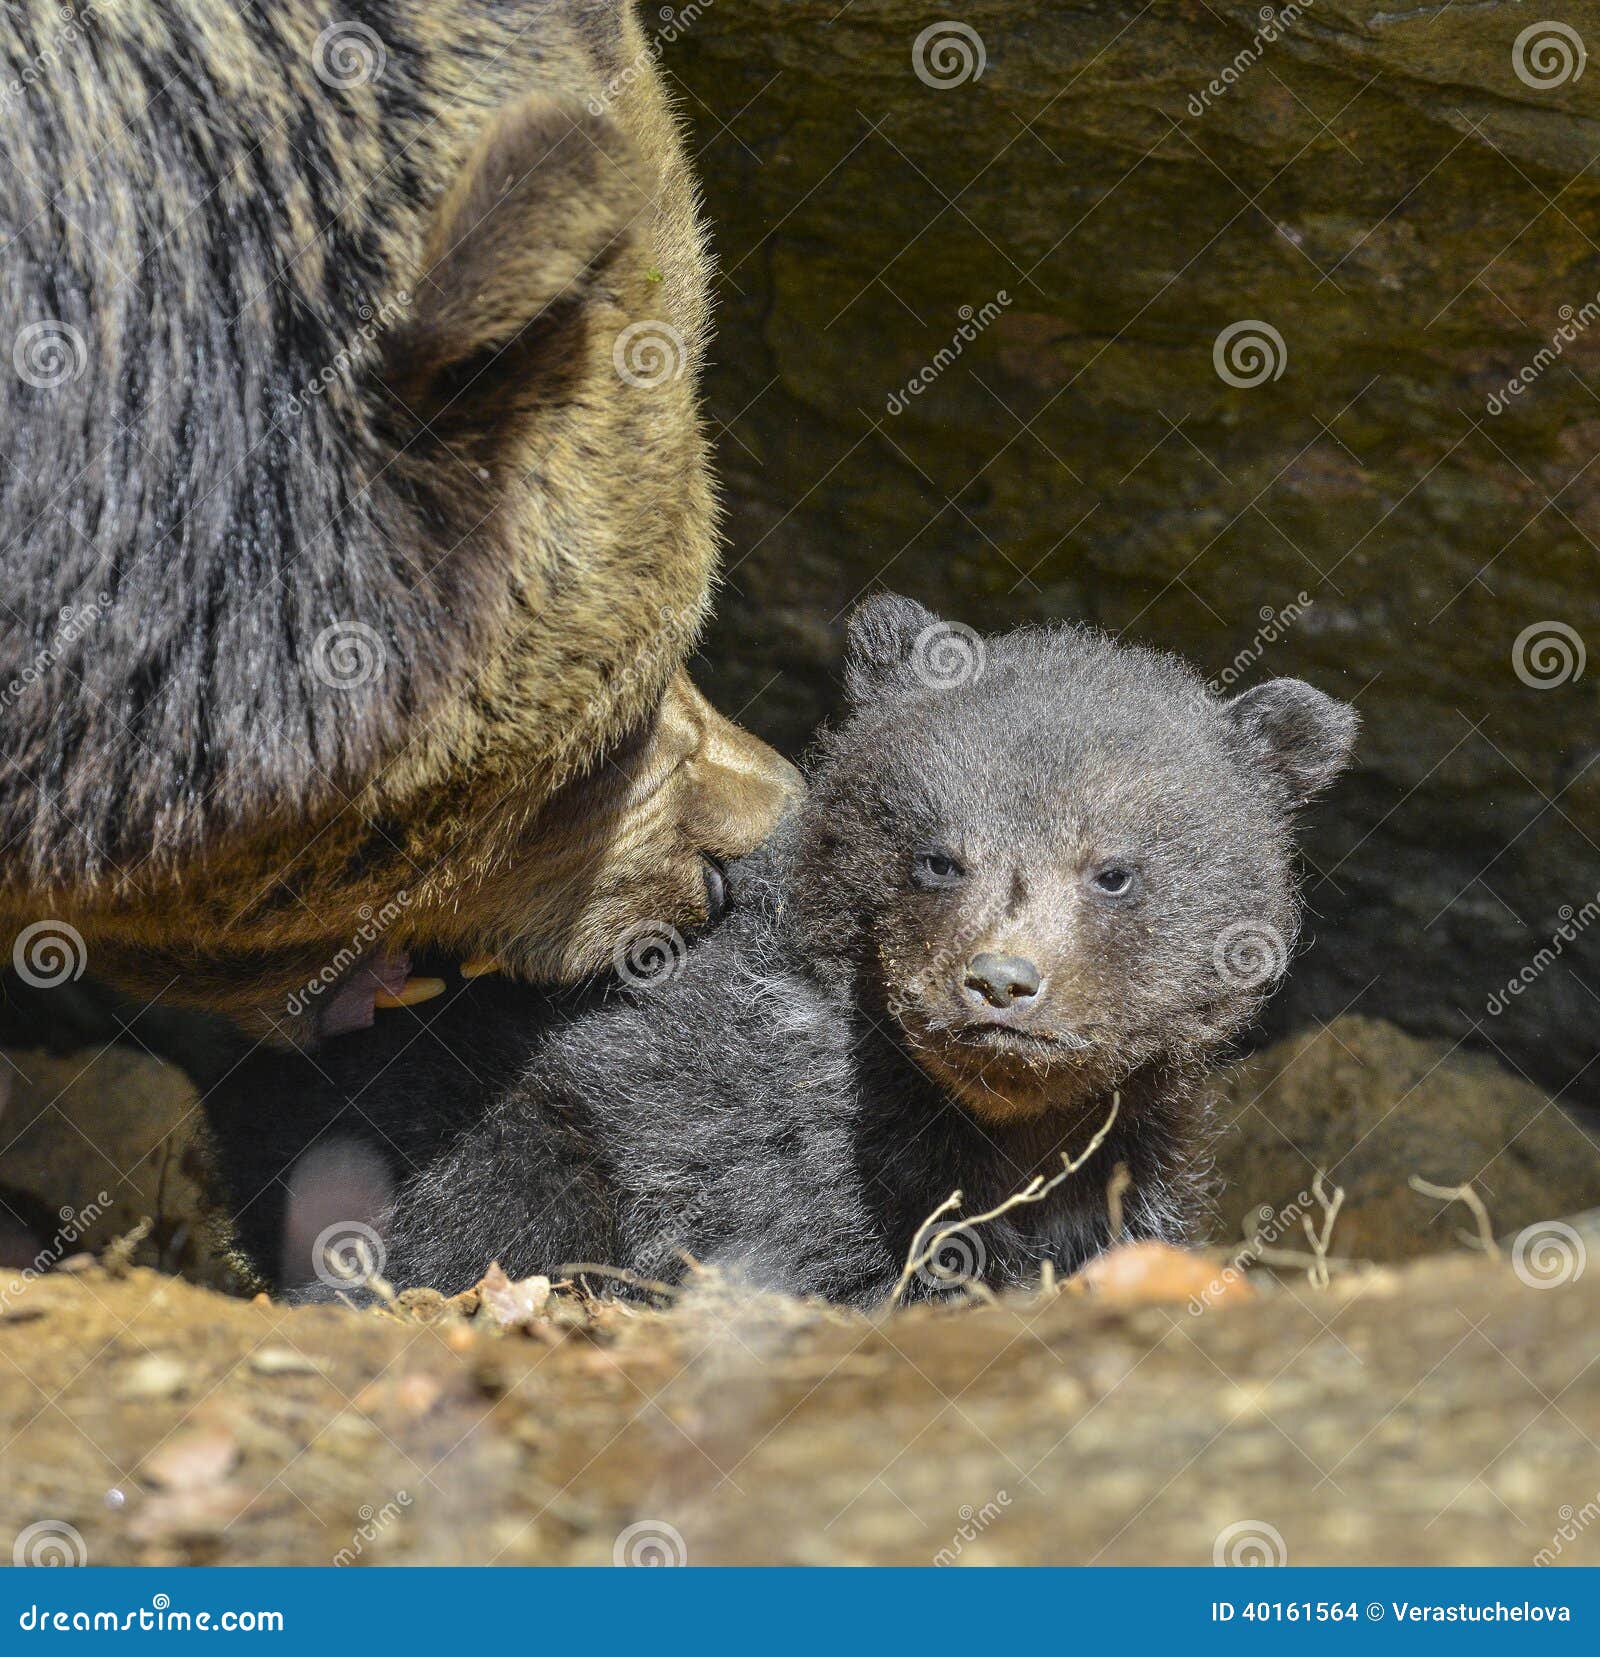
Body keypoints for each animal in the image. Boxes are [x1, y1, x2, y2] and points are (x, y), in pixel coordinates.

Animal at [201, 594, 1359, 1306]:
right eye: (937, 856)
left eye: (1113, 870)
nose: (999, 983)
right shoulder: (760, 1119)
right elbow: (810, 1245)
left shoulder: (1129, 1146)